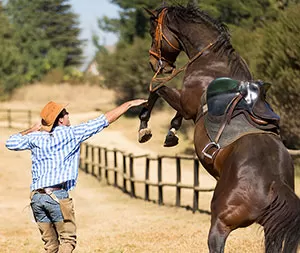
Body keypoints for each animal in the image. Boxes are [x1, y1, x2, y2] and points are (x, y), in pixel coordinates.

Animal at [141, 3, 300, 253]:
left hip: (220, 224)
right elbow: (171, 109)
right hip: (272, 230)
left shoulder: (186, 104)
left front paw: (144, 125)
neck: (211, 60)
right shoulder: (188, 108)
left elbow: (156, 88)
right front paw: (171, 134)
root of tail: (274, 184)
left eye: (152, 33)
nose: (153, 62)